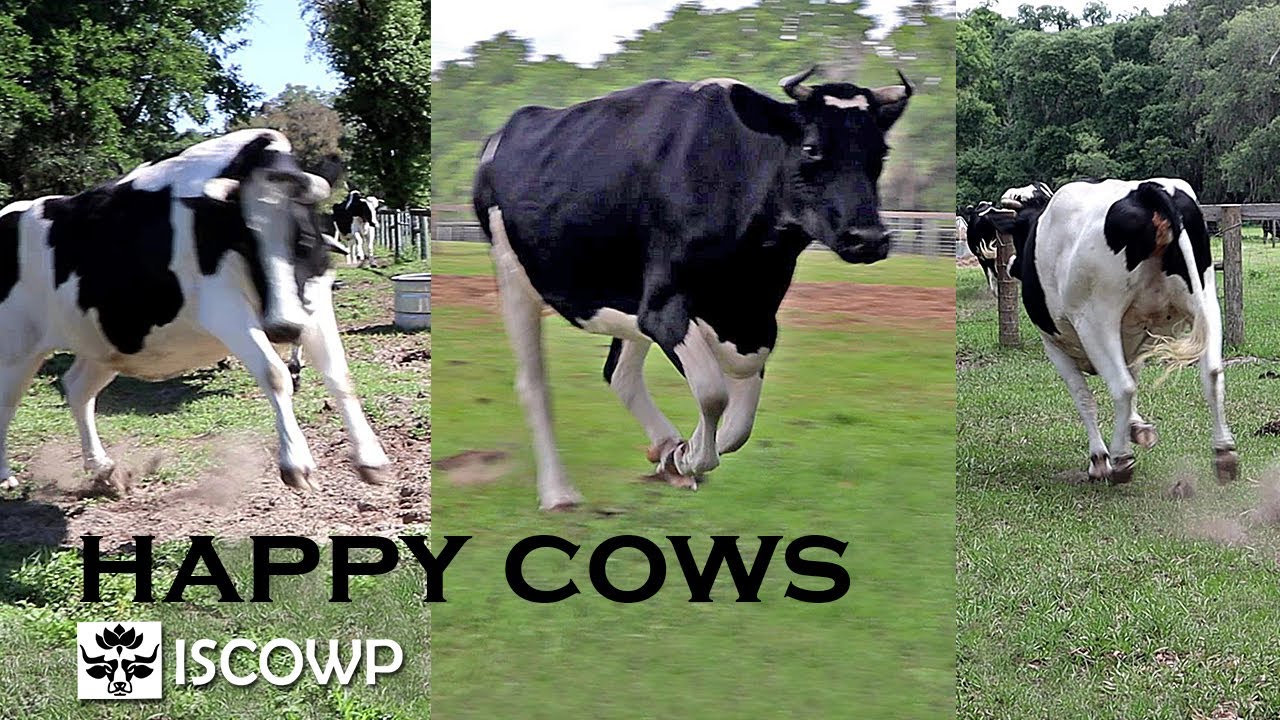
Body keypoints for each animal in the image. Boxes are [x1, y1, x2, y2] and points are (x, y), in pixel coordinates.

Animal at [0, 128, 391, 492]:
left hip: (105, 343)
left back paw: (103, 470)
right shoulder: (223, 307)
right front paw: (297, 464)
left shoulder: (315, 295)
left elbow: (339, 373)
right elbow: (275, 374)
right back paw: (6, 476)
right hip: (16, 348)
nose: (282, 327)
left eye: (304, 238)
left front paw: (371, 458)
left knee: (77, 389)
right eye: (245, 241)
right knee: (7, 402)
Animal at [473, 66, 912, 509]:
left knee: (620, 374)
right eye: (811, 148)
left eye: (882, 153)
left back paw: (663, 448)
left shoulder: (756, 319)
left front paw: (677, 456)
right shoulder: (663, 309)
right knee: (534, 384)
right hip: (513, 277)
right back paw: (558, 492)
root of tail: (506, 130)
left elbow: (739, 422)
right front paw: (687, 457)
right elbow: (713, 392)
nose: (869, 238)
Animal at [999, 177, 1236, 484]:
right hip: (1205, 303)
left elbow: (1086, 399)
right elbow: (1133, 377)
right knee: (1212, 374)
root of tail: (1146, 189)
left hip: (1097, 322)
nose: (1012, 264)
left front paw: (1099, 459)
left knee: (1121, 387)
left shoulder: (1054, 346)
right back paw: (1224, 452)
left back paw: (1121, 458)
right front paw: (1137, 428)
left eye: (1018, 232)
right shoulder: (1139, 337)